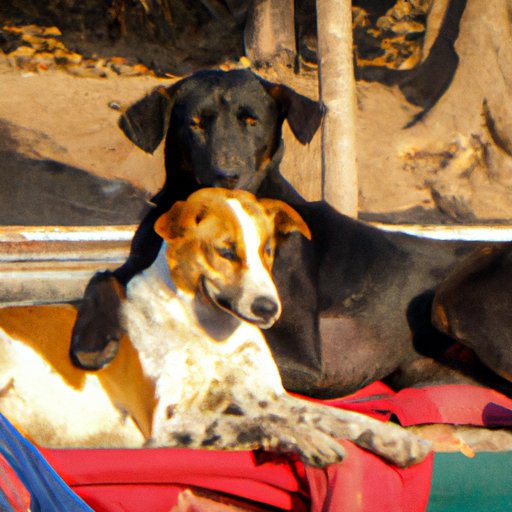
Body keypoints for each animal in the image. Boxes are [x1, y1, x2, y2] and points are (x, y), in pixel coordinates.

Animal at [0, 189, 430, 468]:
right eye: (226, 251)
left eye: (267, 250)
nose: (269, 309)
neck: (210, 331)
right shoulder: (167, 423)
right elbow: (265, 423)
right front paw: (311, 439)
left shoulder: (268, 396)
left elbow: (339, 416)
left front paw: (394, 438)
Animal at [71, 68, 512, 398]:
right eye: (196, 123)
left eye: (252, 121)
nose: (227, 176)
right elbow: (101, 278)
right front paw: (92, 338)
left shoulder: (306, 358)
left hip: (453, 298)